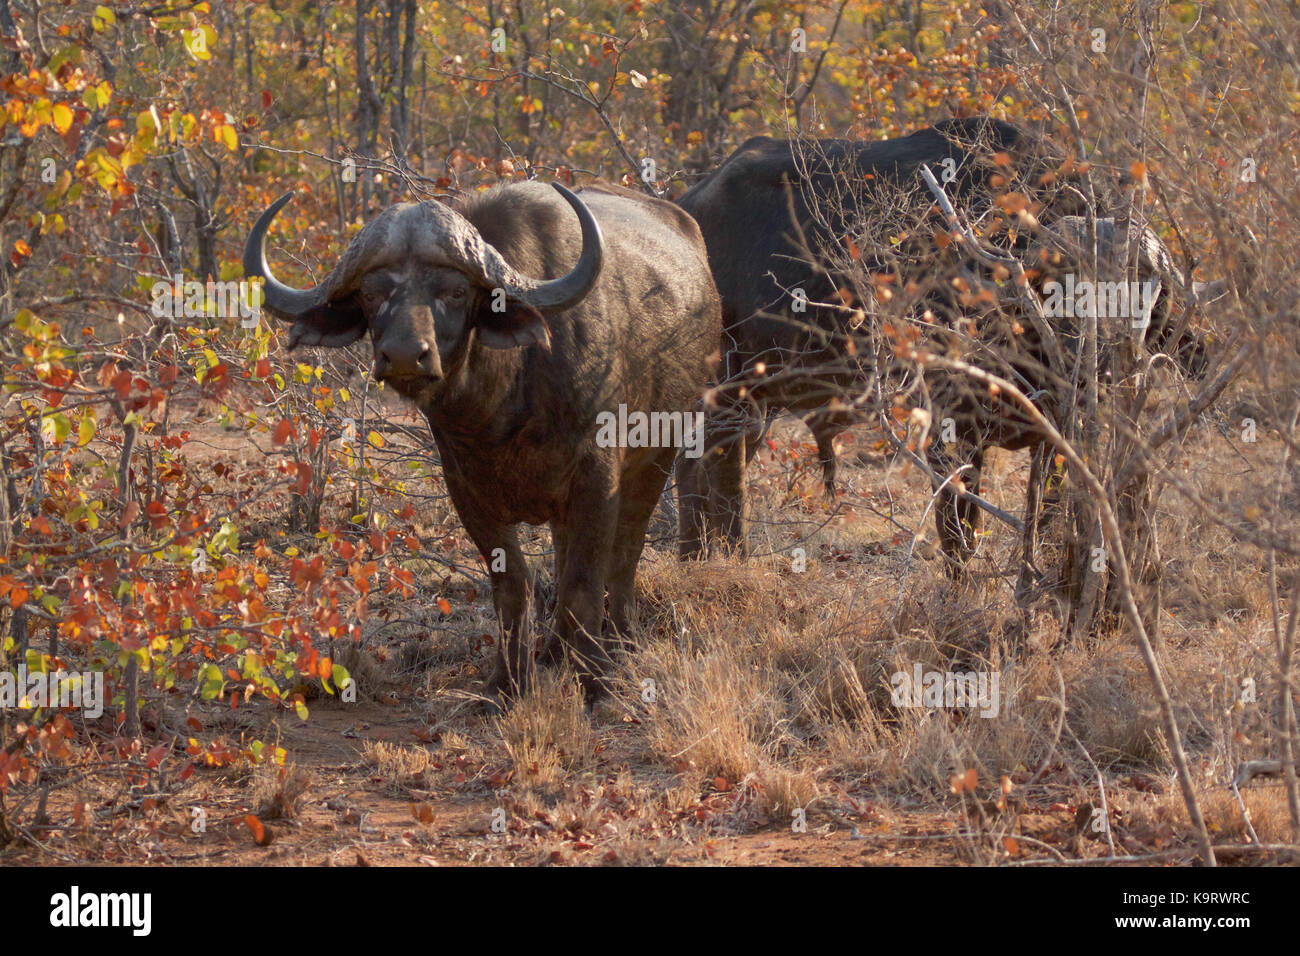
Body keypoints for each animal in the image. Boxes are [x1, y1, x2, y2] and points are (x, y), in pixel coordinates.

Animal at [244, 181, 721, 699]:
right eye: (371, 293)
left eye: (455, 291)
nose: (405, 355)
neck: (503, 408)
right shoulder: (466, 490)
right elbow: (513, 584)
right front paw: (507, 683)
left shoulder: (598, 475)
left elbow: (585, 581)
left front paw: (594, 681)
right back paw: (554, 650)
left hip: (661, 451)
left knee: (626, 552)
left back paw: (620, 640)